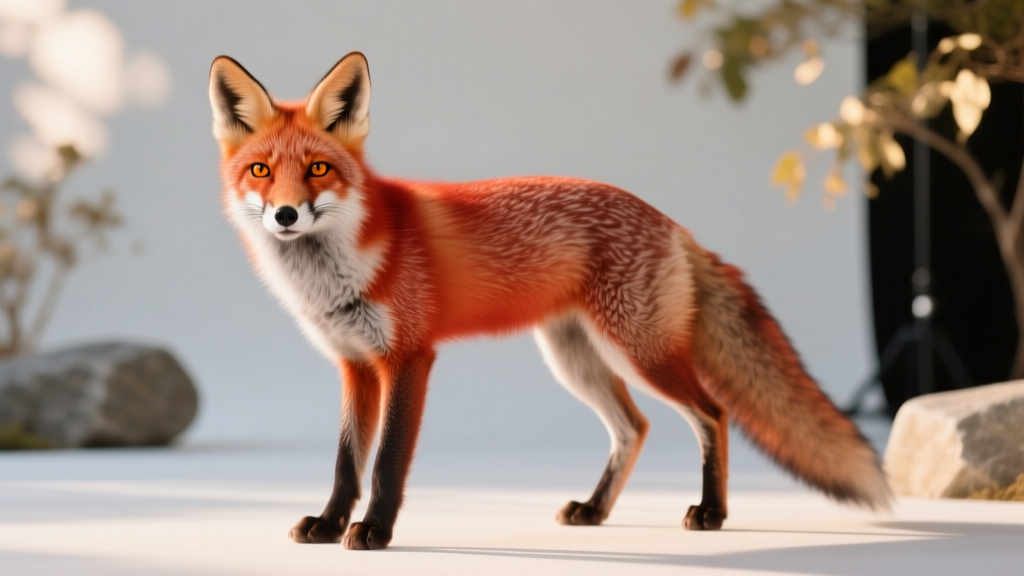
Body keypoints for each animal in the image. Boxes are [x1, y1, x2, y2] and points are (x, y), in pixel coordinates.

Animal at [208, 52, 890, 550]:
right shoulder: (354, 364)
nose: (286, 215)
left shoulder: (408, 358)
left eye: (319, 169)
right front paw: (328, 524)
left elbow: (387, 462)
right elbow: (346, 462)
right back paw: (594, 510)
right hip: (576, 361)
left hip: (640, 353)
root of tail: (672, 223)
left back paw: (712, 512)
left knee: (712, 414)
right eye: (262, 171)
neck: (336, 274)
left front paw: (374, 530)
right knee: (635, 426)